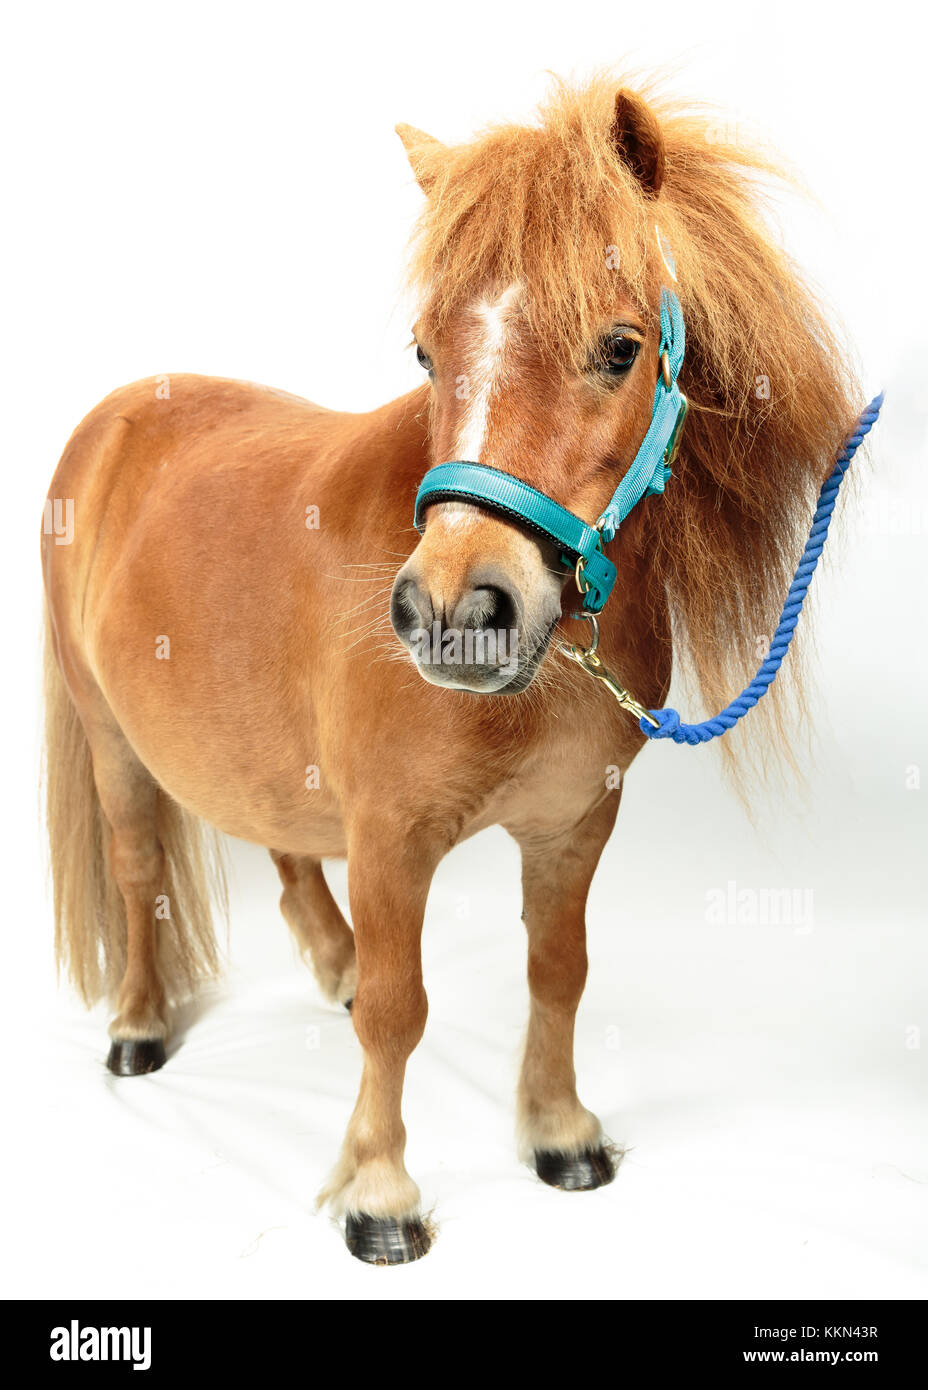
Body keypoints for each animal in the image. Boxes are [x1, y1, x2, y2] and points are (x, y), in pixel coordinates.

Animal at [41, 76, 861, 1265]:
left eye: (621, 348)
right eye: (427, 353)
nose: (452, 616)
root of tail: (110, 419)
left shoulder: (573, 823)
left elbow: (558, 972)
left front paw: (560, 1135)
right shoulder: (390, 838)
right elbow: (400, 1011)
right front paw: (380, 1193)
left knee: (280, 838)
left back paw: (326, 964)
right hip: (109, 737)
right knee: (139, 864)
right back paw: (142, 1027)